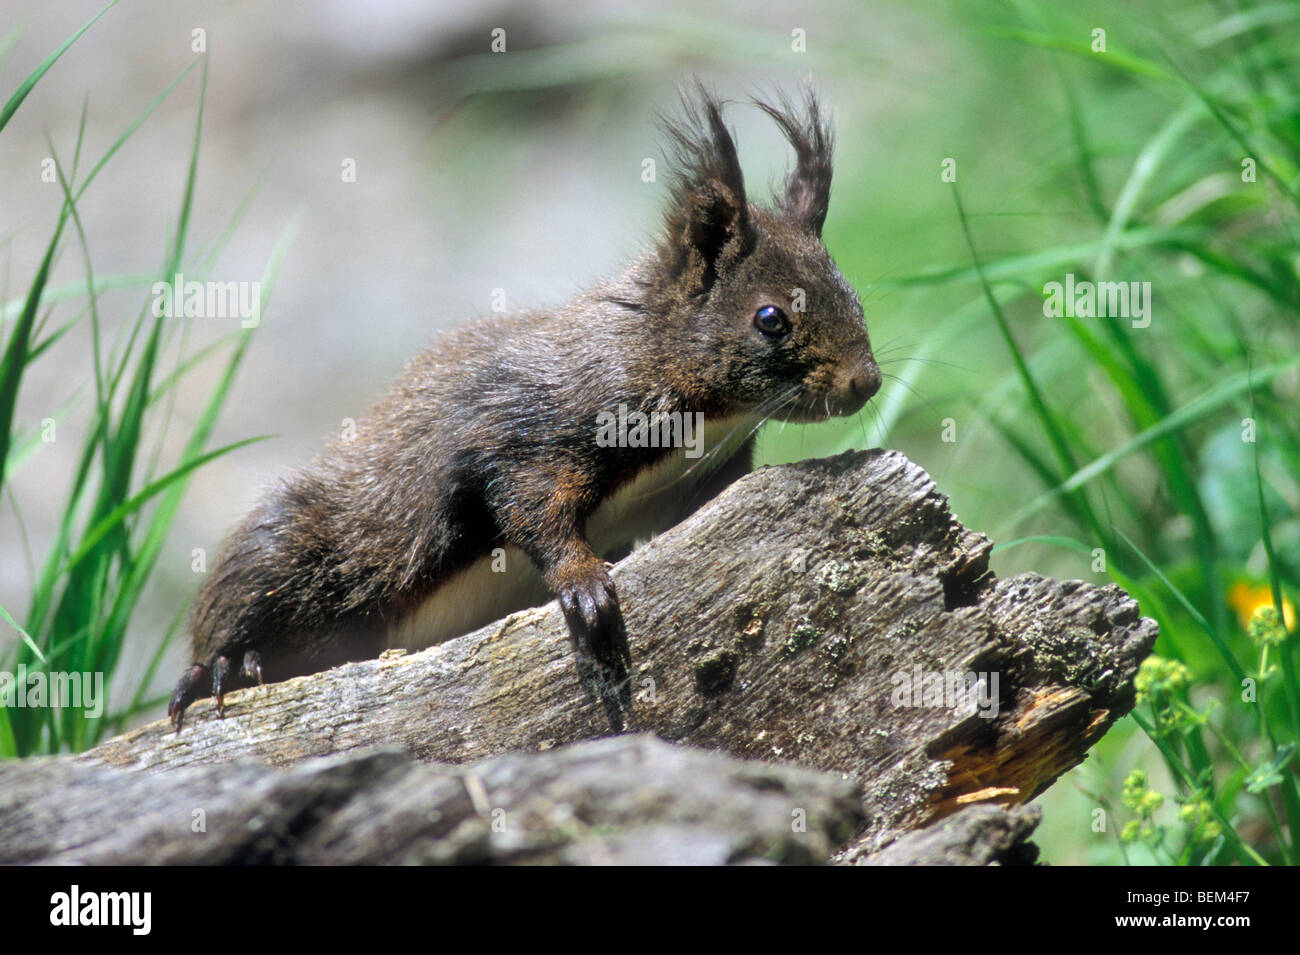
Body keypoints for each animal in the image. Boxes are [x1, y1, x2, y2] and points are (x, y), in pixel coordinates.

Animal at [167, 83, 881, 731]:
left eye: (854, 293)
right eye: (770, 318)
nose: (866, 383)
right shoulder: (533, 428)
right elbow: (530, 506)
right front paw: (584, 584)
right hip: (289, 546)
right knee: (238, 603)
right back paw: (223, 666)